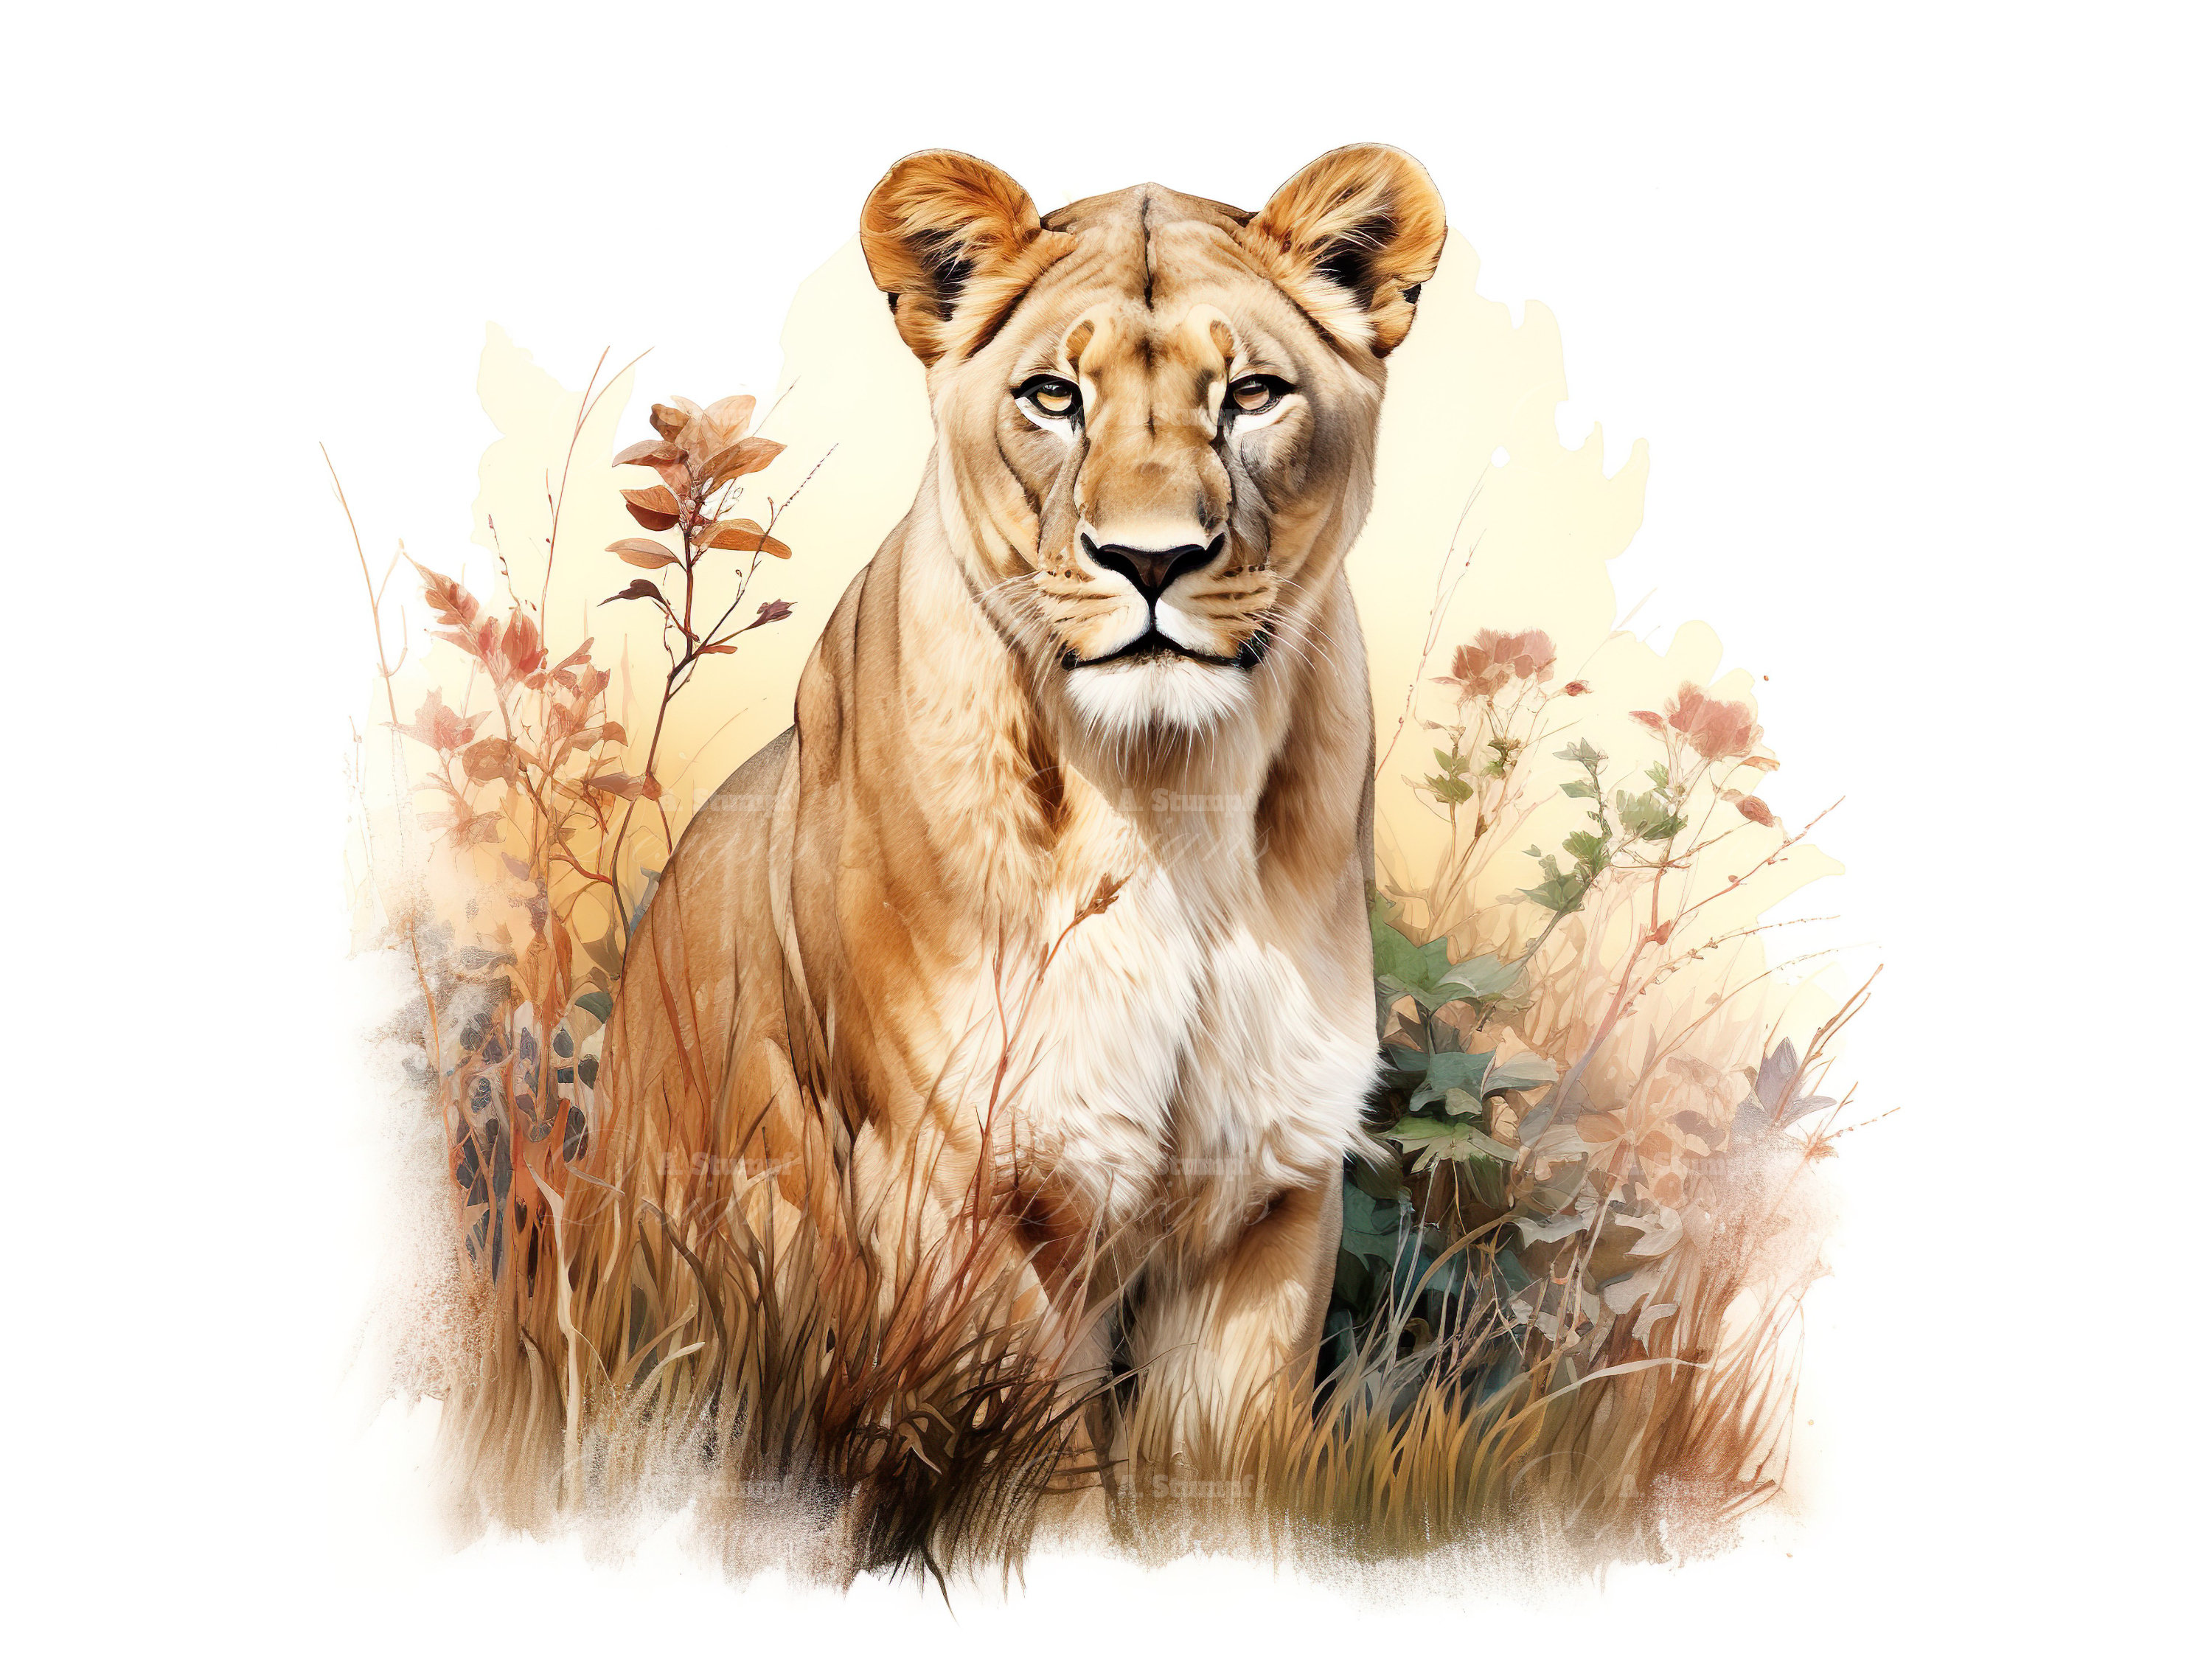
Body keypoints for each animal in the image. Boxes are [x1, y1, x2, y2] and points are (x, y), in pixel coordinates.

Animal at [590, 146, 1447, 1486]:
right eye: (1053, 396)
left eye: (1252, 395)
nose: (1152, 561)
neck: (1169, 796)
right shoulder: (952, 1180)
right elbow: (1035, 1483)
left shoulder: (1269, 1189)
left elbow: (1220, 1470)